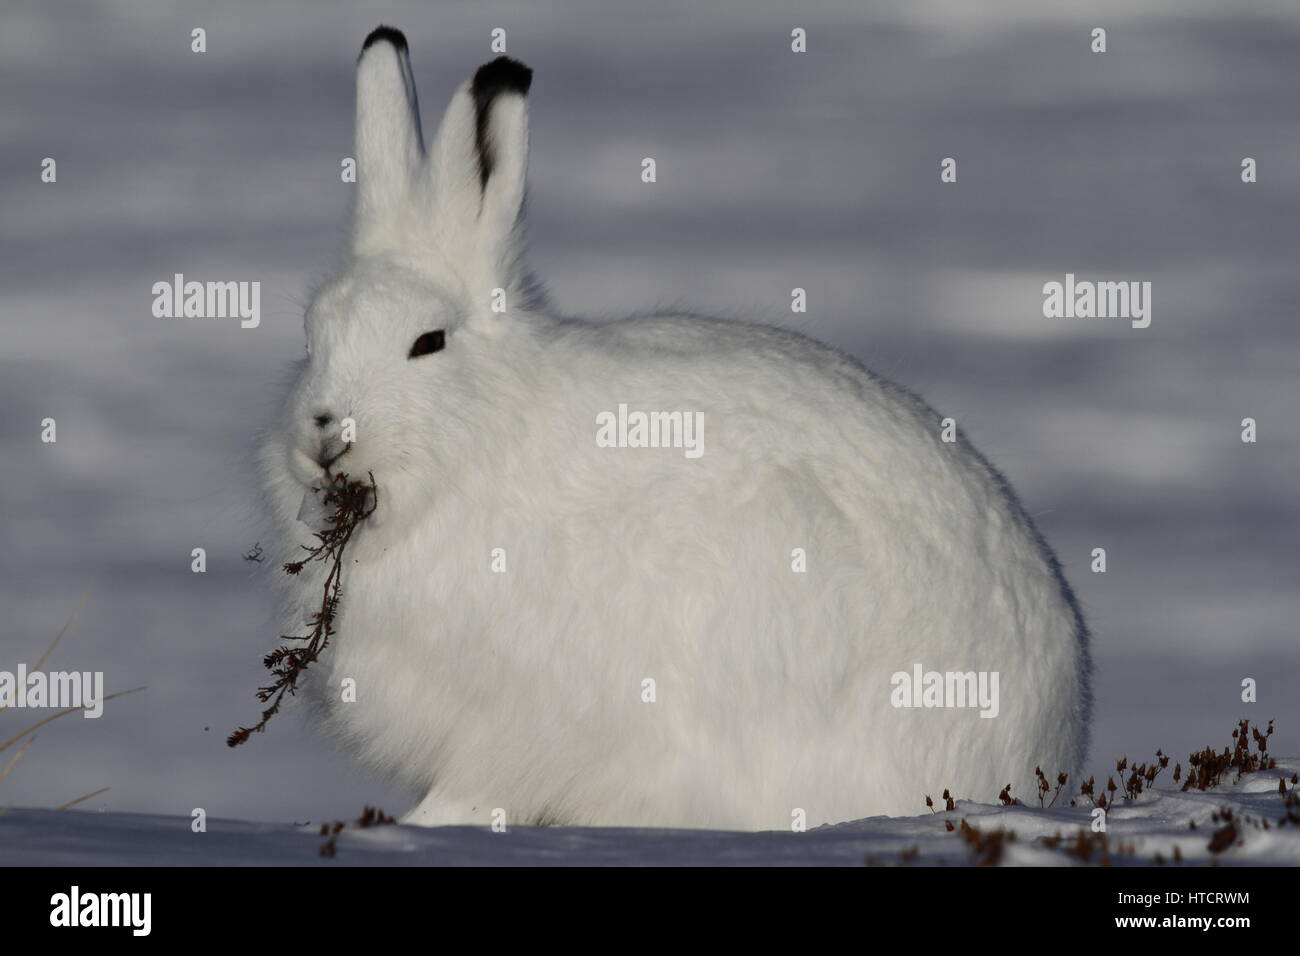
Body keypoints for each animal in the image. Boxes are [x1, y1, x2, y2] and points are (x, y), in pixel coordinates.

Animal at [255, 25, 1091, 830]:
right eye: (312, 338)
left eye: (427, 343)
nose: (325, 437)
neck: (484, 446)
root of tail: (1039, 749)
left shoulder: (532, 718)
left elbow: (481, 785)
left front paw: (419, 824)